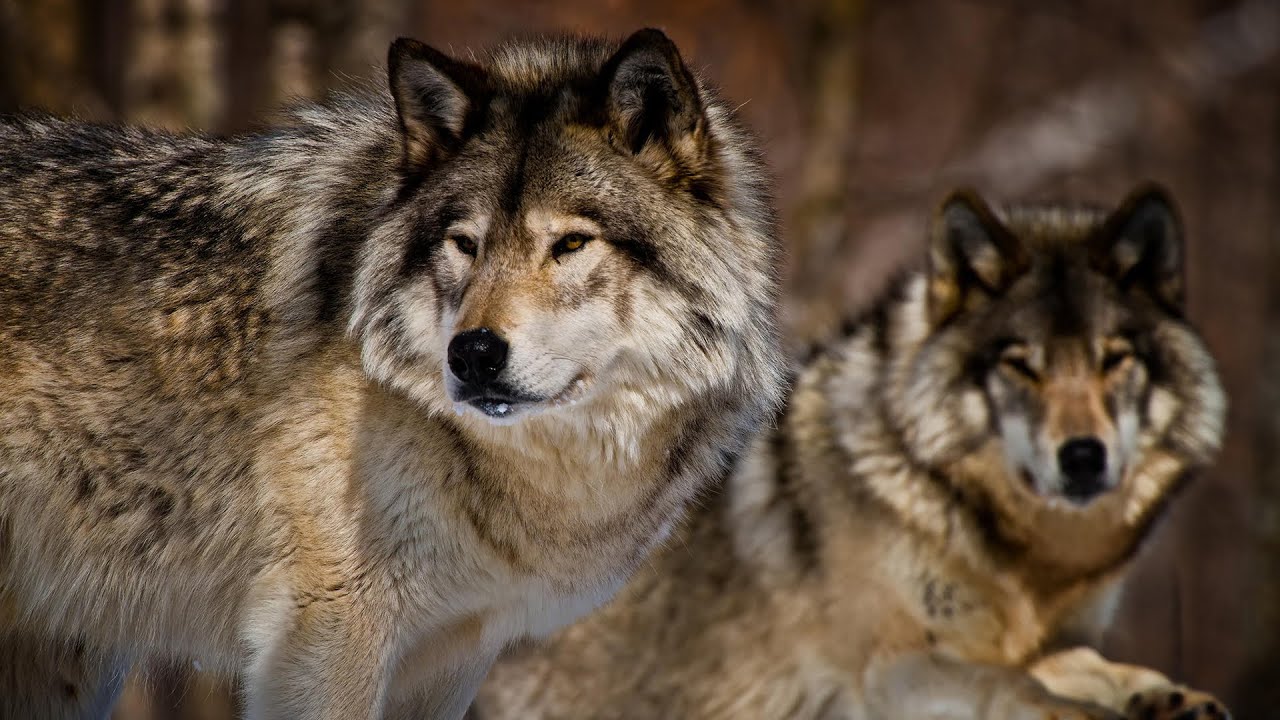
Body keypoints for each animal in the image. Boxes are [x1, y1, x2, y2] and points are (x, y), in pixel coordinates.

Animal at [474, 184, 1230, 720]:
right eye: (1021, 365)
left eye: (1114, 360)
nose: (1083, 457)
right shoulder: (887, 670)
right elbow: (1009, 684)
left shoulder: (1029, 640)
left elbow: (1074, 664)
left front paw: (1161, 696)